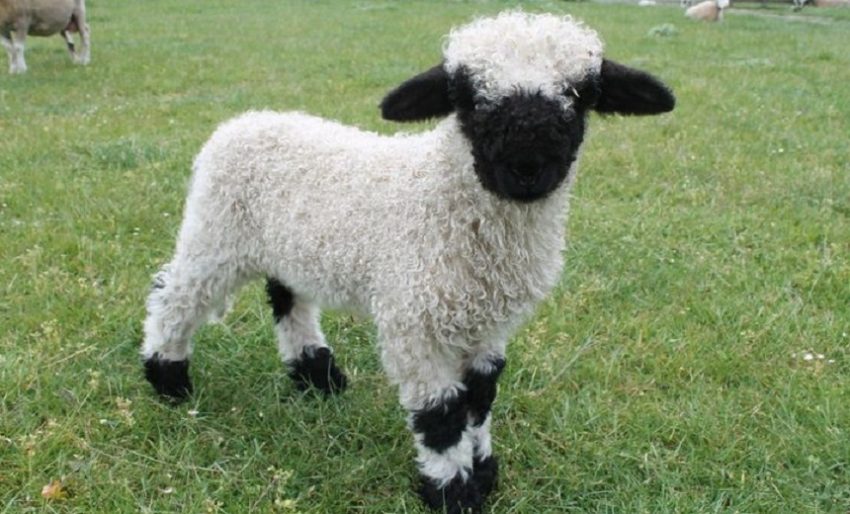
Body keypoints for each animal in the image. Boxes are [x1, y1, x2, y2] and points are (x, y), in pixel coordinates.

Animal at [141, 11, 675, 513]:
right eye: (467, 97)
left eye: (582, 94)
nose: (526, 169)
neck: (446, 202)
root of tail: (245, 120)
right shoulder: (415, 321)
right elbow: (441, 415)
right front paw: (453, 492)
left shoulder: (487, 326)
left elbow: (479, 398)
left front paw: (483, 470)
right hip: (215, 234)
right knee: (175, 295)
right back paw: (167, 378)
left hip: (286, 246)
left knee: (287, 297)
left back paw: (316, 376)